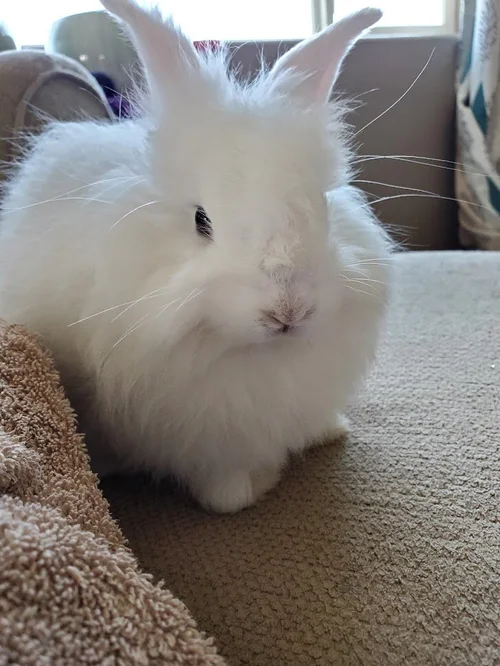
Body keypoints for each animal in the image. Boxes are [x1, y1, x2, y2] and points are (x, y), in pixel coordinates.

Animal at [0, 0, 392, 513]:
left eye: (322, 206)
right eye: (201, 220)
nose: (289, 312)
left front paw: (329, 431)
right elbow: (226, 497)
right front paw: (253, 486)